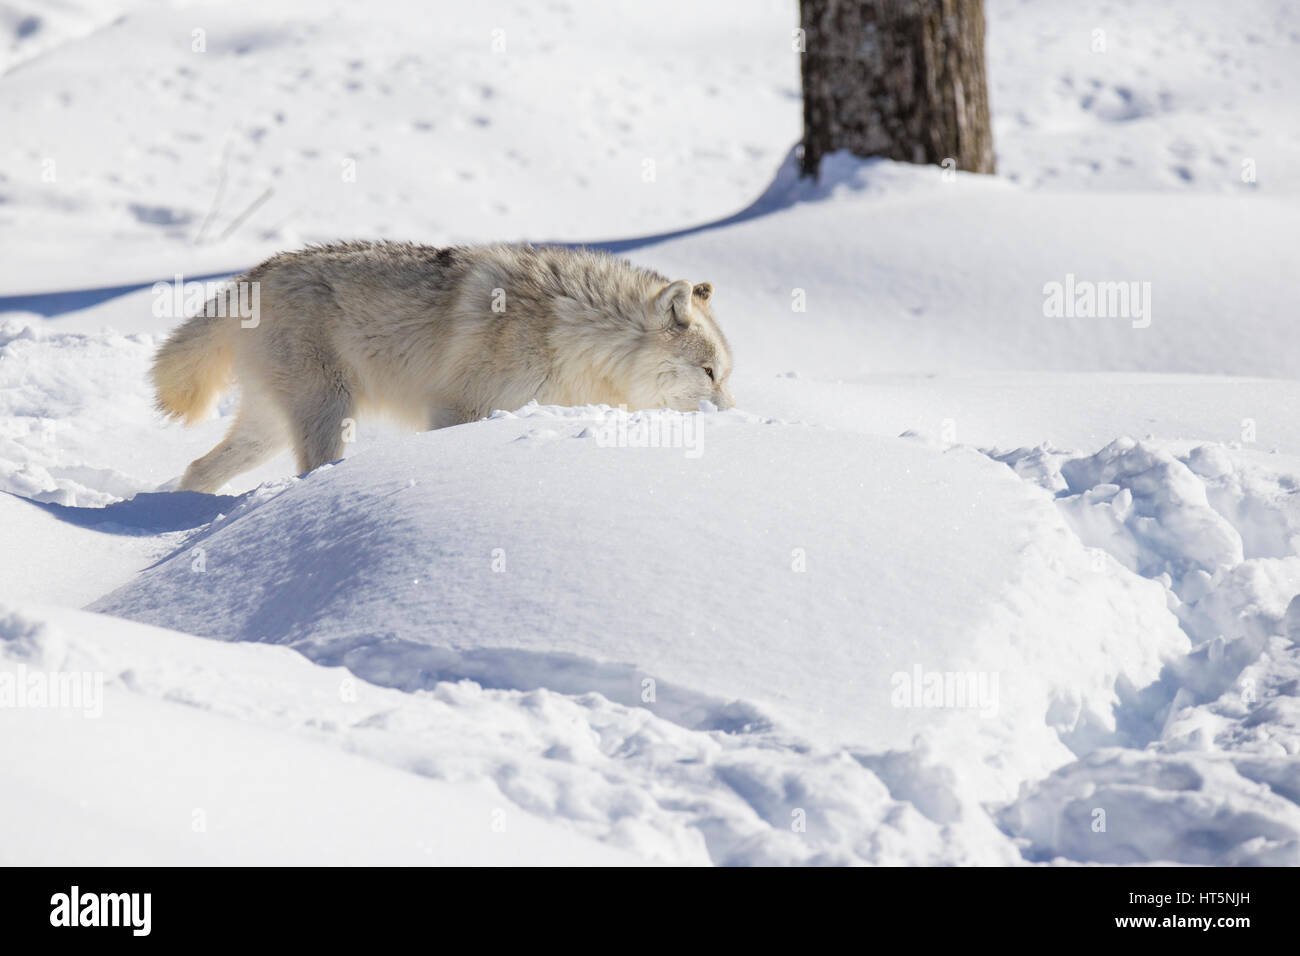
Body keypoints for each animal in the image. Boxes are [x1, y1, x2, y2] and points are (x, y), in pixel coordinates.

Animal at [151, 241, 735, 493]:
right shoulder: (456, 412)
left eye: (725, 377)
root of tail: (256, 273)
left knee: (197, 470)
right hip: (328, 414)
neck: (570, 330)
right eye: (709, 374)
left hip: (268, 430)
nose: (731, 417)